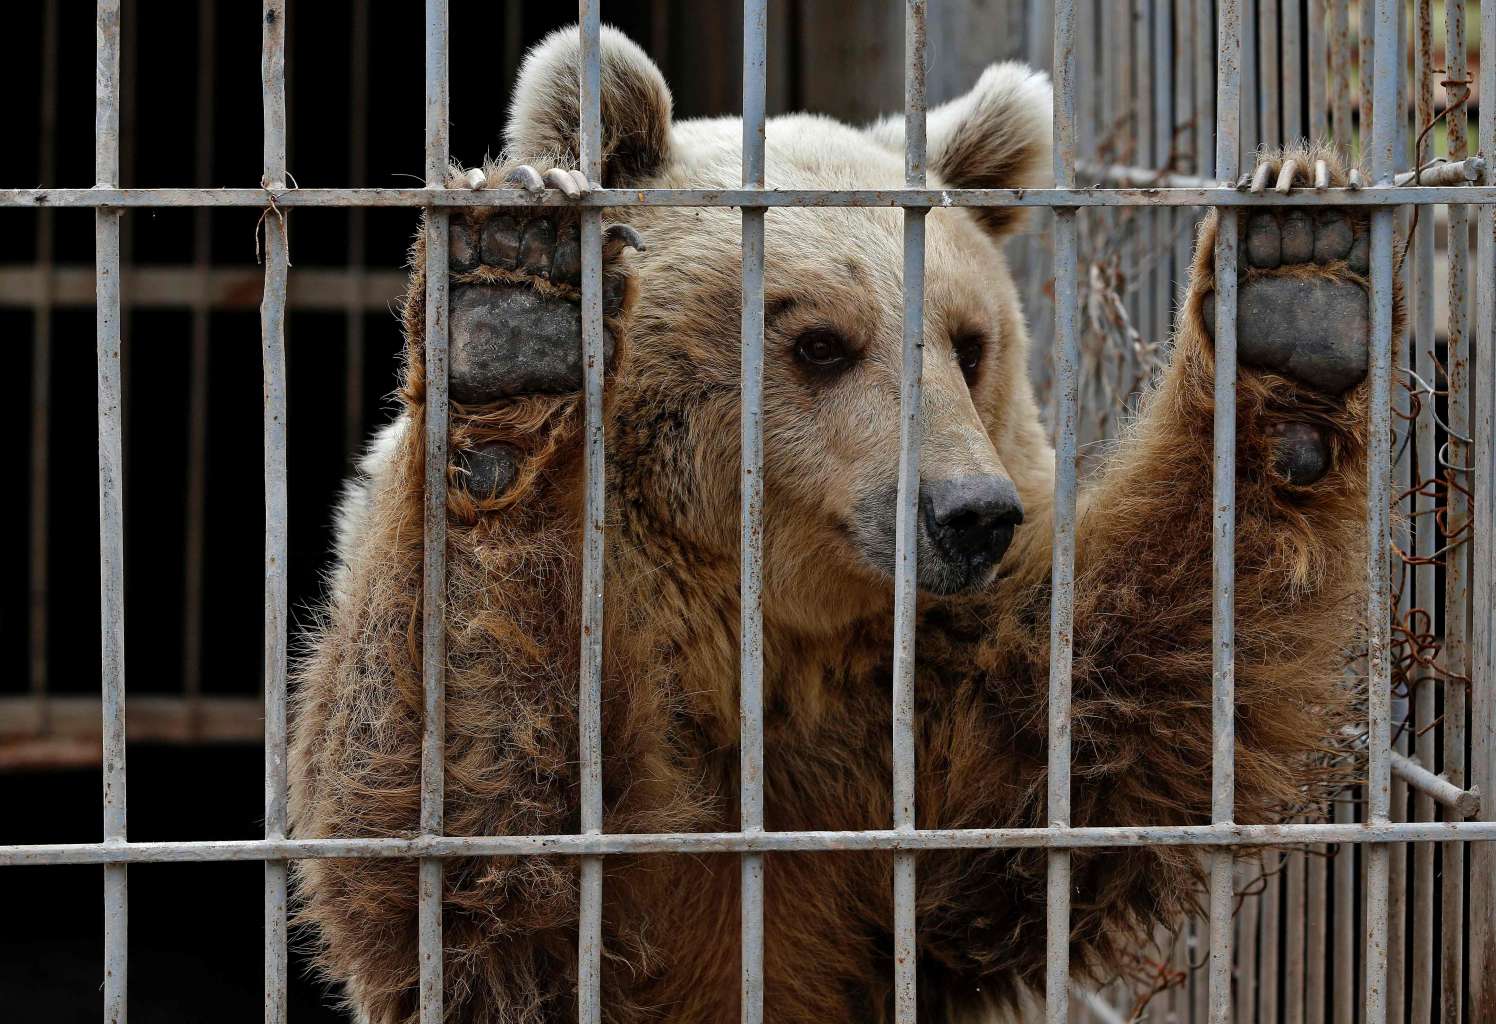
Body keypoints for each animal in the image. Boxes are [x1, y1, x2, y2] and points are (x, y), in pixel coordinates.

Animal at [289, 24, 1386, 1024]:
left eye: (968, 342)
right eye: (819, 342)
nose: (971, 514)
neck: (767, 651)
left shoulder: (921, 750)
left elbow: (1109, 711)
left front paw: (1296, 281)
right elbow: (480, 816)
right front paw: (515, 311)